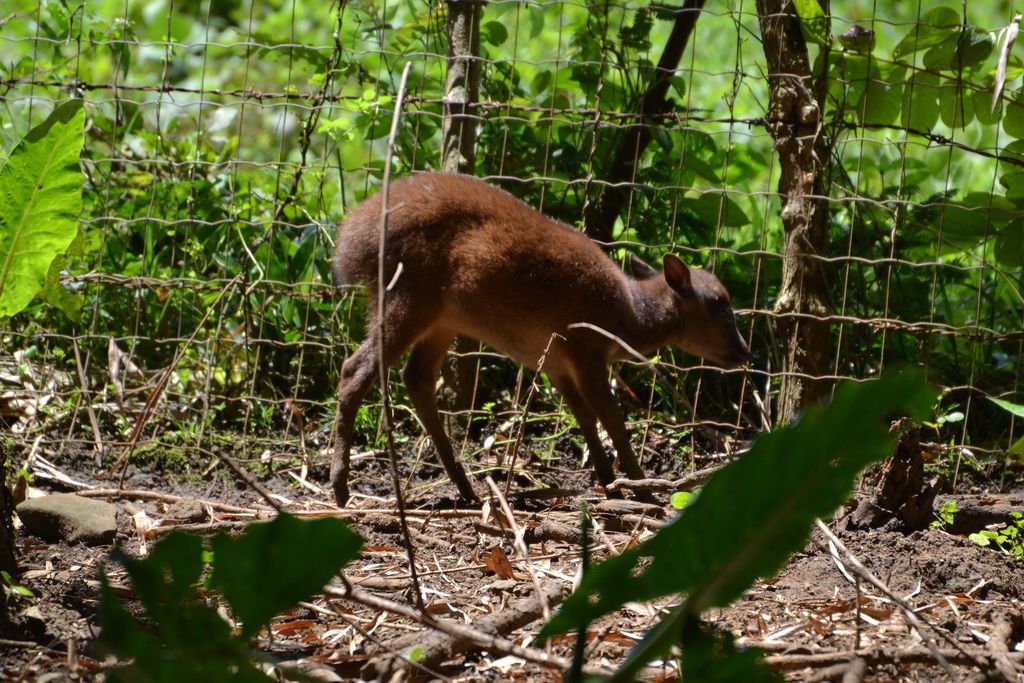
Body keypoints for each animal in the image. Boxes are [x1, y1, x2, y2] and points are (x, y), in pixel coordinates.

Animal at [330, 173, 750, 506]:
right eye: (721, 306)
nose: (746, 353)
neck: (628, 317)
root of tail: (349, 242)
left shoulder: (556, 363)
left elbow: (584, 417)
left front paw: (608, 479)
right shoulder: (585, 350)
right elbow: (612, 419)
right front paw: (642, 486)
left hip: (442, 320)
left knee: (416, 379)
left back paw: (466, 489)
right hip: (407, 297)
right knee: (355, 369)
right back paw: (340, 488)